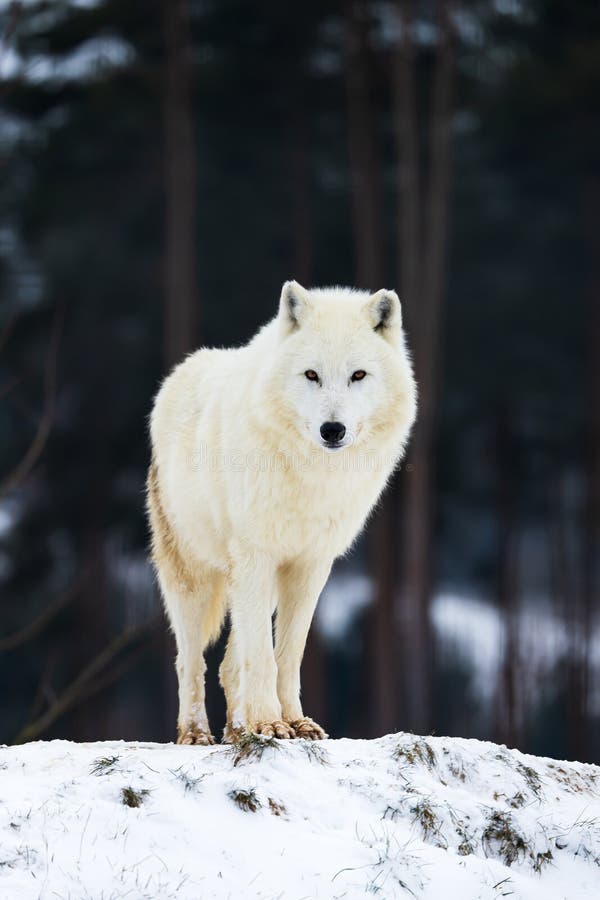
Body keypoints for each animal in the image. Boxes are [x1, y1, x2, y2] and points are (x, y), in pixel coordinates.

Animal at [147, 281, 417, 743]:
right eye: (311, 375)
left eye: (358, 375)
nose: (332, 430)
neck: (312, 477)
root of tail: (177, 374)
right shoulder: (256, 556)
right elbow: (262, 656)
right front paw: (270, 724)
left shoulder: (309, 565)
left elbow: (288, 653)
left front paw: (292, 721)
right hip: (192, 576)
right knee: (191, 661)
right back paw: (197, 733)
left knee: (229, 666)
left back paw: (238, 730)